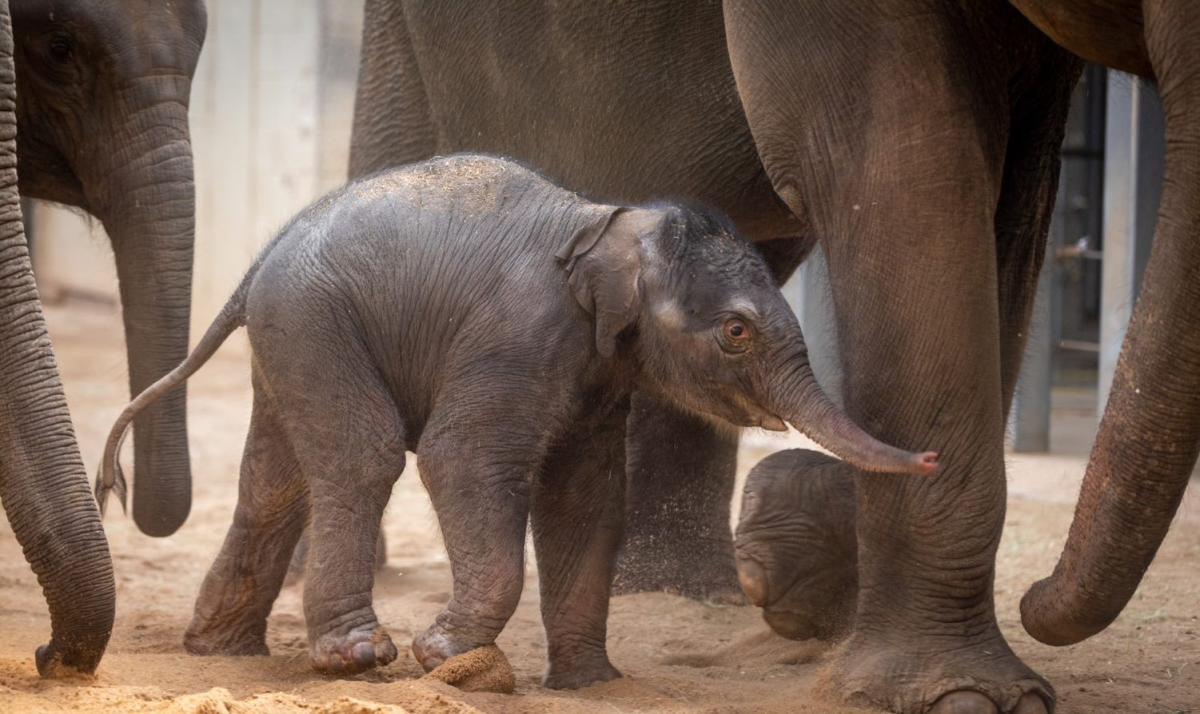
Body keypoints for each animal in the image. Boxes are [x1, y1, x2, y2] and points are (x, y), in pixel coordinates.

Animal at [94, 155, 936, 686]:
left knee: (277, 484)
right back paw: (357, 658)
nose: (931, 460)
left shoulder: (598, 371)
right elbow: (459, 458)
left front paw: (591, 682)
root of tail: (258, 264)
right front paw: (441, 656)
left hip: (295, 336)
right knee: (364, 458)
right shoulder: (520, 337)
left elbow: (586, 497)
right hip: (315, 322)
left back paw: (219, 653)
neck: (610, 224)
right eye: (736, 331)